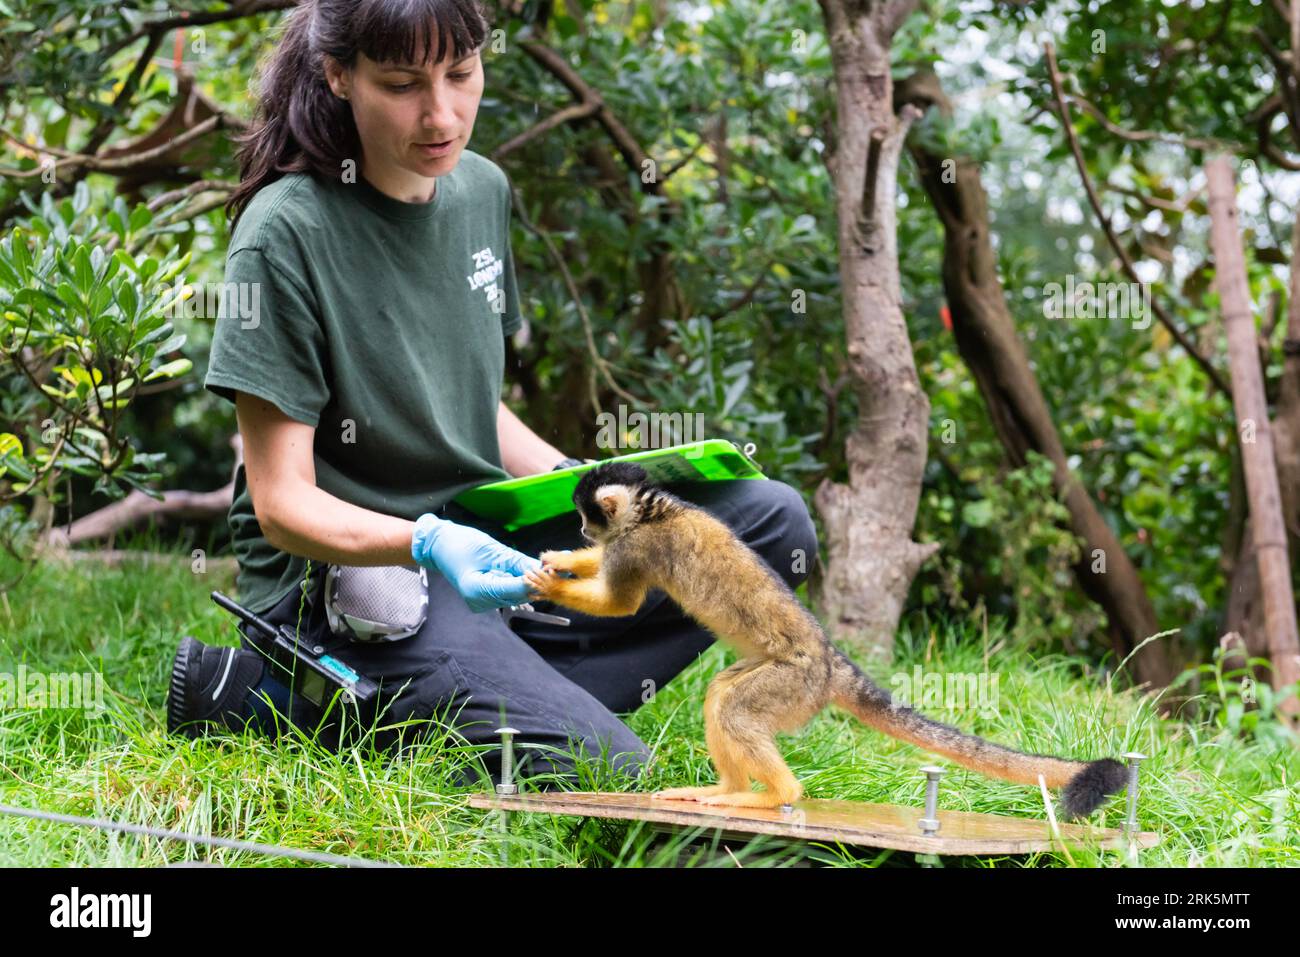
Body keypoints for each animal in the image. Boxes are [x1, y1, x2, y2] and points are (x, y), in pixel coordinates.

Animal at [522, 461, 1128, 817]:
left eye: (587, 516)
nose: (581, 531)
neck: (652, 512)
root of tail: (831, 660)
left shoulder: (636, 546)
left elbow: (619, 603)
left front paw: (551, 582)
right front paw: (559, 560)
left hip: (794, 683)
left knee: (738, 710)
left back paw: (772, 795)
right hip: (789, 681)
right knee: (722, 696)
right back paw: (726, 788)